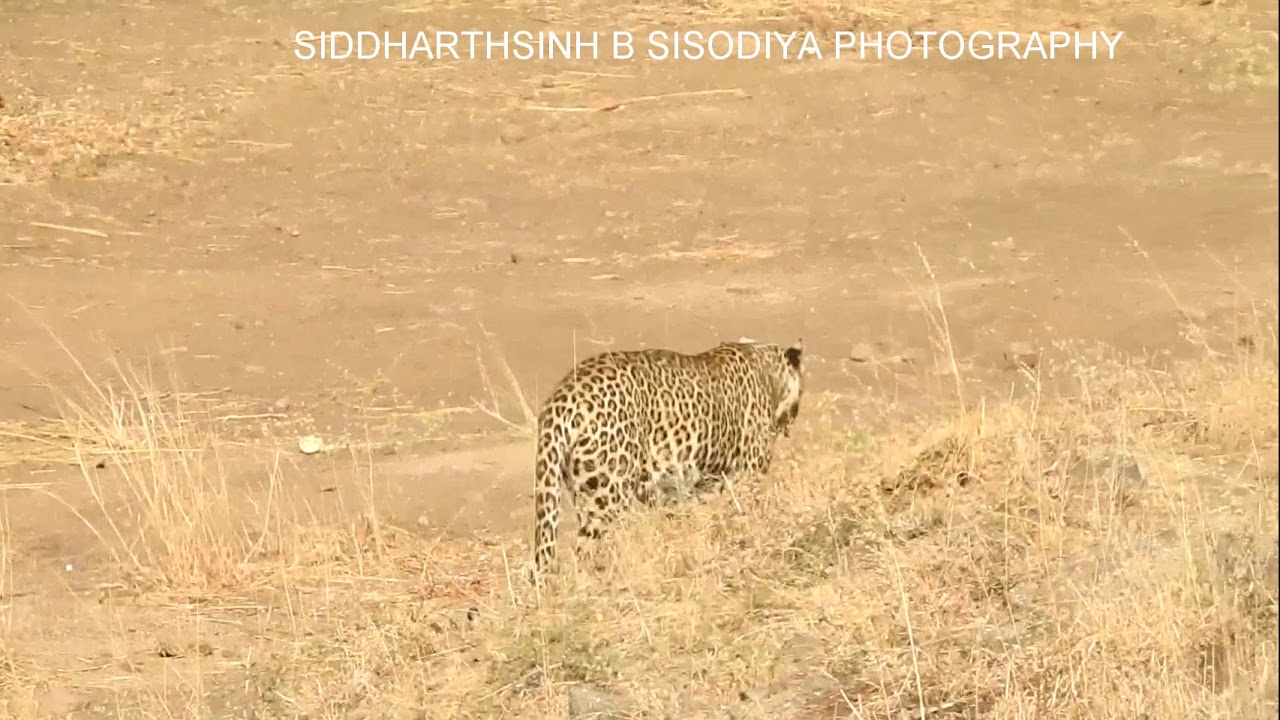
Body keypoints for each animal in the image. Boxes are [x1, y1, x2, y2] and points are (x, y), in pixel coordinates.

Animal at [530, 338, 805, 585]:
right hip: (609, 495)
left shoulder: (677, 492)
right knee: (583, 550)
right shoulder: (748, 474)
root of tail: (562, 397)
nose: (793, 419)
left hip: (583, 491)